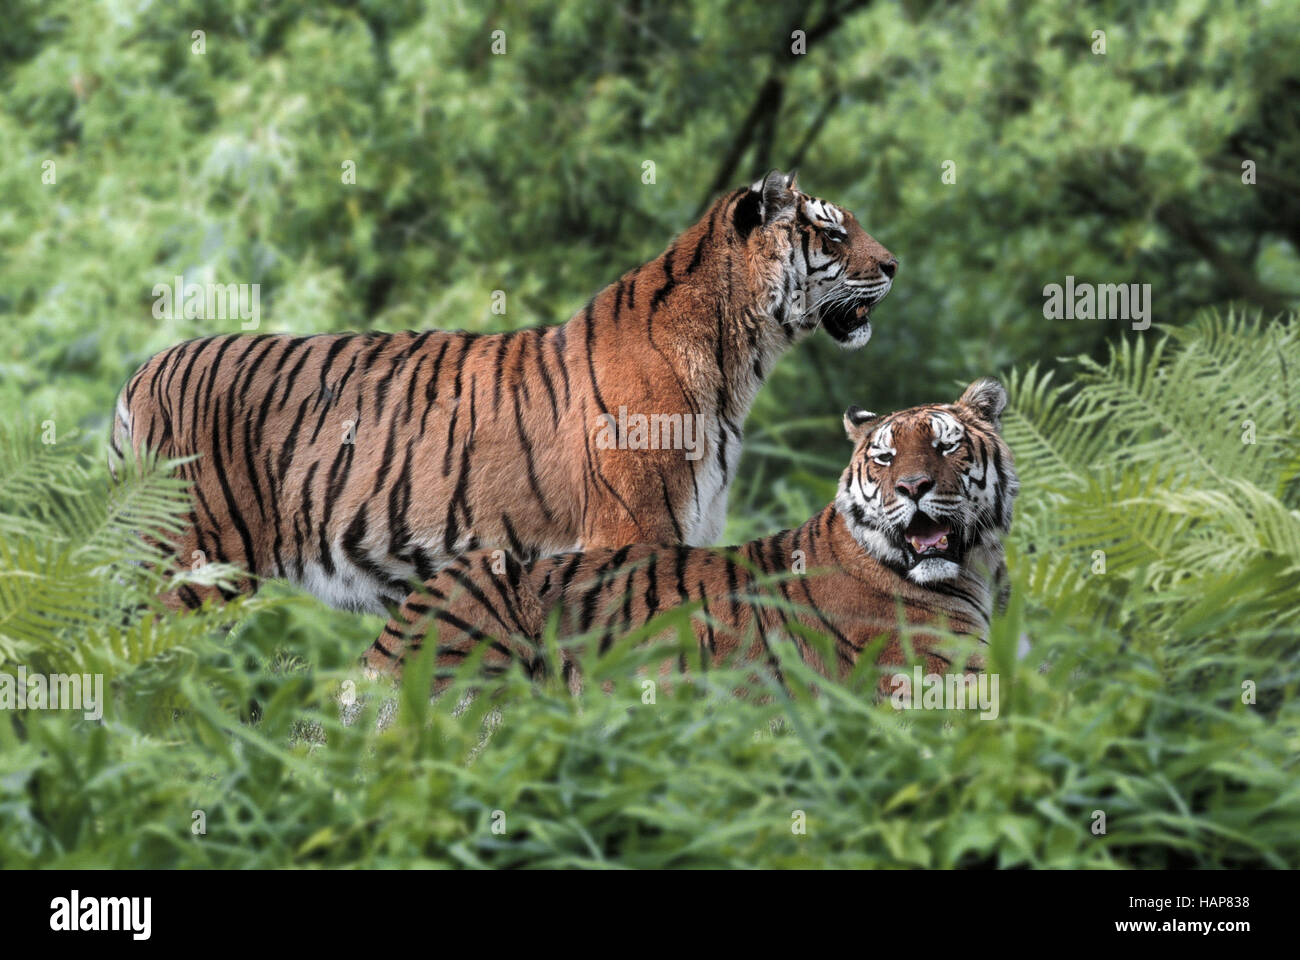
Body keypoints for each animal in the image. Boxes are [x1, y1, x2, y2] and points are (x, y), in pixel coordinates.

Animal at [110, 170, 897, 614]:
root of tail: (144, 372)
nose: (894, 264)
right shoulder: (632, 534)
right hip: (183, 565)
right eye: (832, 233)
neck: (741, 357)